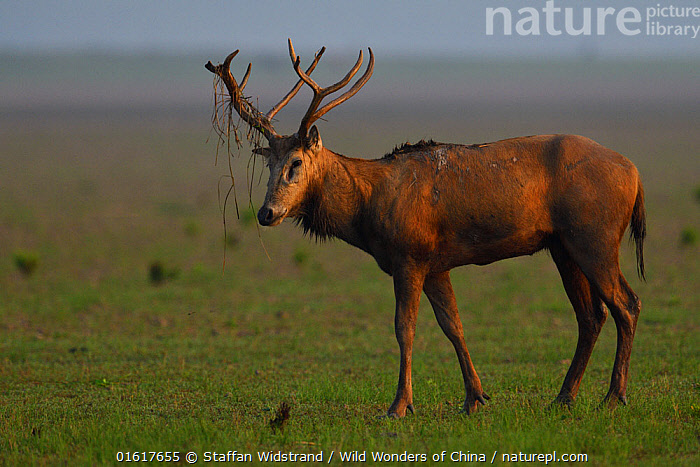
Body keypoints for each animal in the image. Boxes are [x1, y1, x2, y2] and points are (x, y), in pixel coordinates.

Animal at [205, 40, 646, 418]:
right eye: (269, 163)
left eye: (296, 162)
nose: (266, 212)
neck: (370, 205)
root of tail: (635, 174)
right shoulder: (437, 264)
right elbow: (454, 325)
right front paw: (475, 398)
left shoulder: (410, 255)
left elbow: (405, 328)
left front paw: (399, 405)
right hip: (563, 246)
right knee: (590, 315)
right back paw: (563, 398)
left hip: (595, 237)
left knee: (626, 303)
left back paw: (613, 397)